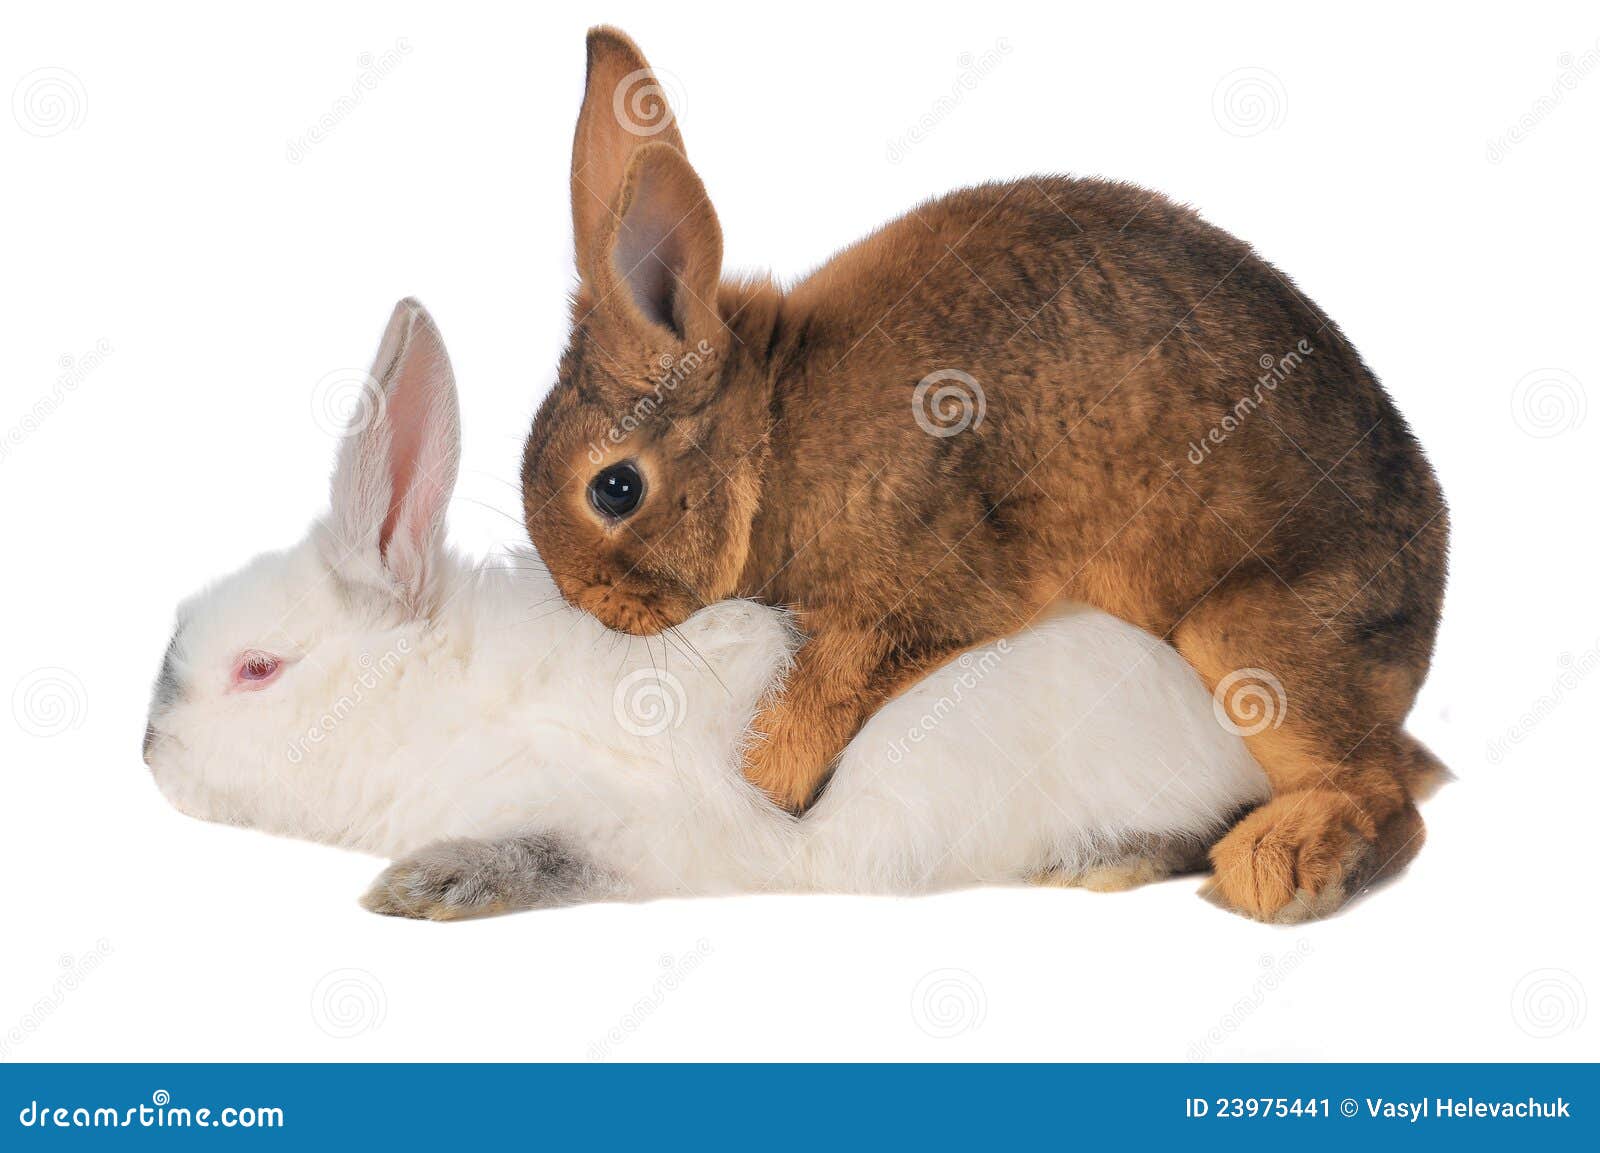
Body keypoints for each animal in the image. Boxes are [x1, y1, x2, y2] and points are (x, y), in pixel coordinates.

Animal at [143, 298, 1269, 920]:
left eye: (258, 669)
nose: (150, 753)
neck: (443, 702)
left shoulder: (652, 828)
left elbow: (553, 854)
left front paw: (426, 887)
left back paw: (1096, 864)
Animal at [517, 28, 1449, 922]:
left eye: (615, 489)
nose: (582, 599)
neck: (772, 438)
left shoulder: (943, 574)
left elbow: (840, 664)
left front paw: (767, 773)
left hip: (1246, 642)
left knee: (1388, 797)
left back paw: (1280, 866)